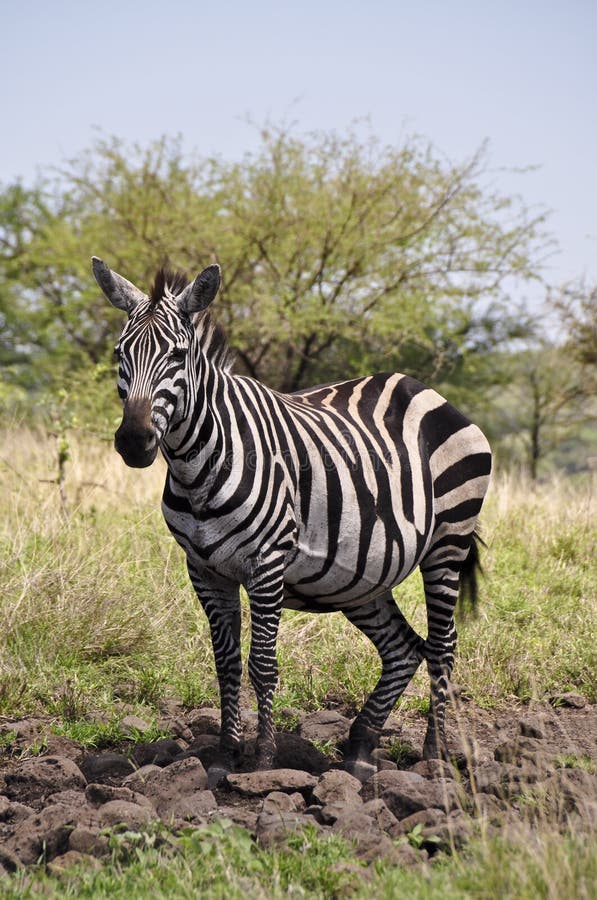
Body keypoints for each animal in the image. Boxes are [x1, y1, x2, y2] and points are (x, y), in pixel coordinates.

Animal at [92, 256, 492, 780]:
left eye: (178, 356)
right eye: (120, 353)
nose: (134, 442)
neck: (197, 466)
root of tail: (422, 388)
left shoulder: (267, 563)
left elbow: (262, 665)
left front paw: (262, 761)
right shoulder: (204, 571)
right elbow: (226, 663)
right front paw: (225, 756)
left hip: (449, 541)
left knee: (443, 645)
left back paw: (434, 756)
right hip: (359, 574)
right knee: (404, 649)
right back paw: (360, 748)